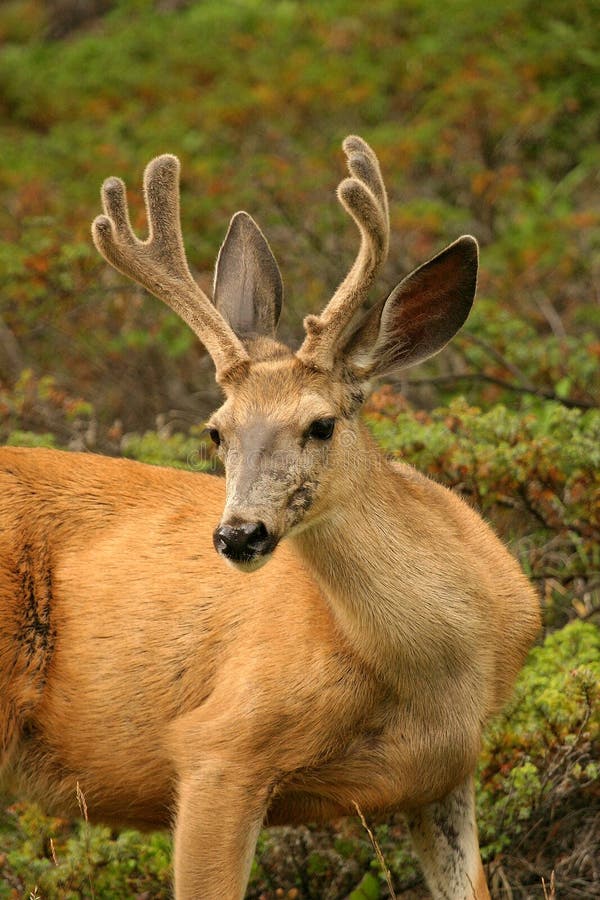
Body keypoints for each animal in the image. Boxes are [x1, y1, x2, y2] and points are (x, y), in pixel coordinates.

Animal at [0, 136, 540, 899]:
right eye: (216, 431)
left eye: (321, 424)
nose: (239, 534)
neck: (436, 671)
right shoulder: (218, 747)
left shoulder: (446, 778)